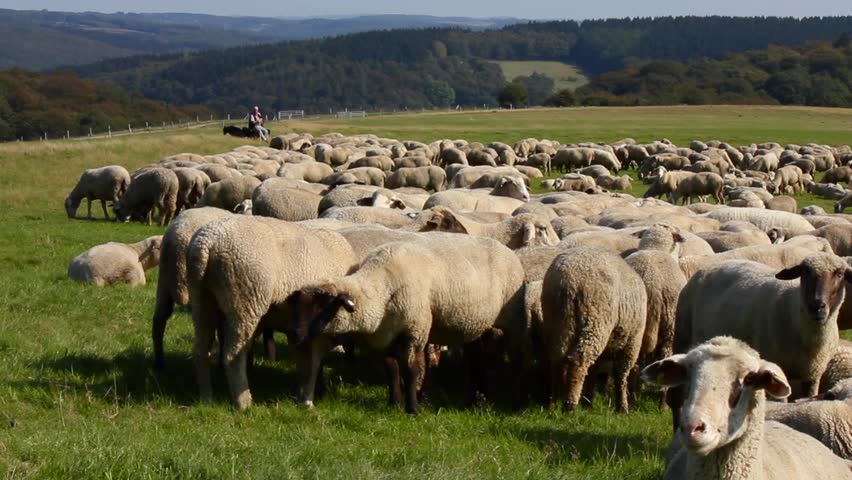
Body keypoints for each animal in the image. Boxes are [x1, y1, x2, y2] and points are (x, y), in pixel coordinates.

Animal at [187, 215, 359, 410]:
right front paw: (308, 399)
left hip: (201, 297)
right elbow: (314, 363)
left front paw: (300, 392)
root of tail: (207, 242)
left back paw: (206, 397)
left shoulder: (299, 328)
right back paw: (244, 403)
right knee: (232, 355)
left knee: (201, 350)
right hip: (244, 301)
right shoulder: (317, 329)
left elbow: (303, 360)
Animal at [286, 233, 526, 414]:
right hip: (472, 324)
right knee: (476, 358)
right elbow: (392, 369)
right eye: (298, 307)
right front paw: (394, 403)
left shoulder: (415, 330)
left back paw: (509, 399)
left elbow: (411, 370)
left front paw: (412, 409)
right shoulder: (385, 334)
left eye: (323, 306)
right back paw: (473, 400)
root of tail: (509, 251)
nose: (294, 335)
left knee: (509, 358)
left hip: (511, 320)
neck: (381, 286)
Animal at [541, 246, 647, 413]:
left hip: (559, 322)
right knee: (578, 360)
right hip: (595, 321)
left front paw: (588, 402)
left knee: (557, 360)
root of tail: (569, 281)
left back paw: (554, 401)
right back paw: (570, 404)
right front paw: (622, 407)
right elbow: (621, 375)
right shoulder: (632, 342)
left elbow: (593, 373)